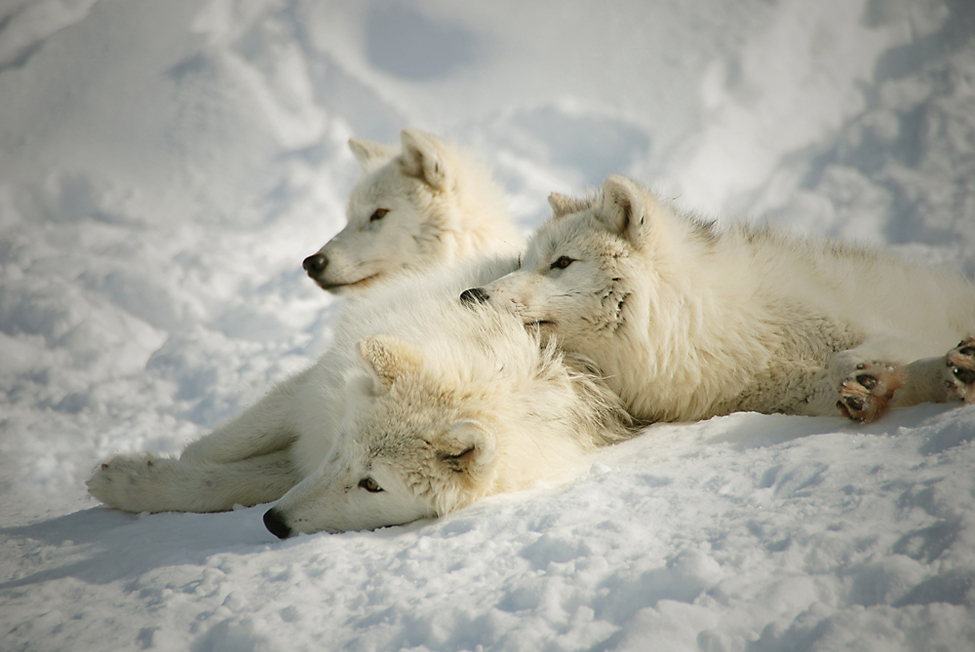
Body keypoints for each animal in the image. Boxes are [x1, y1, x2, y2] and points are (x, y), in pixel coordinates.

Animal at [87, 258, 628, 536]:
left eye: (372, 485)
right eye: (343, 450)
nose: (274, 522)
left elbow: (224, 484)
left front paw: (135, 483)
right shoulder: (312, 394)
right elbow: (220, 452)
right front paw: (141, 473)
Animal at [464, 174, 975, 422]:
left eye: (562, 262)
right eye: (522, 262)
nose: (471, 295)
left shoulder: (872, 322)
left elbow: (871, 353)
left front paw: (942, 370)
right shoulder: (797, 395)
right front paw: (877, 387)